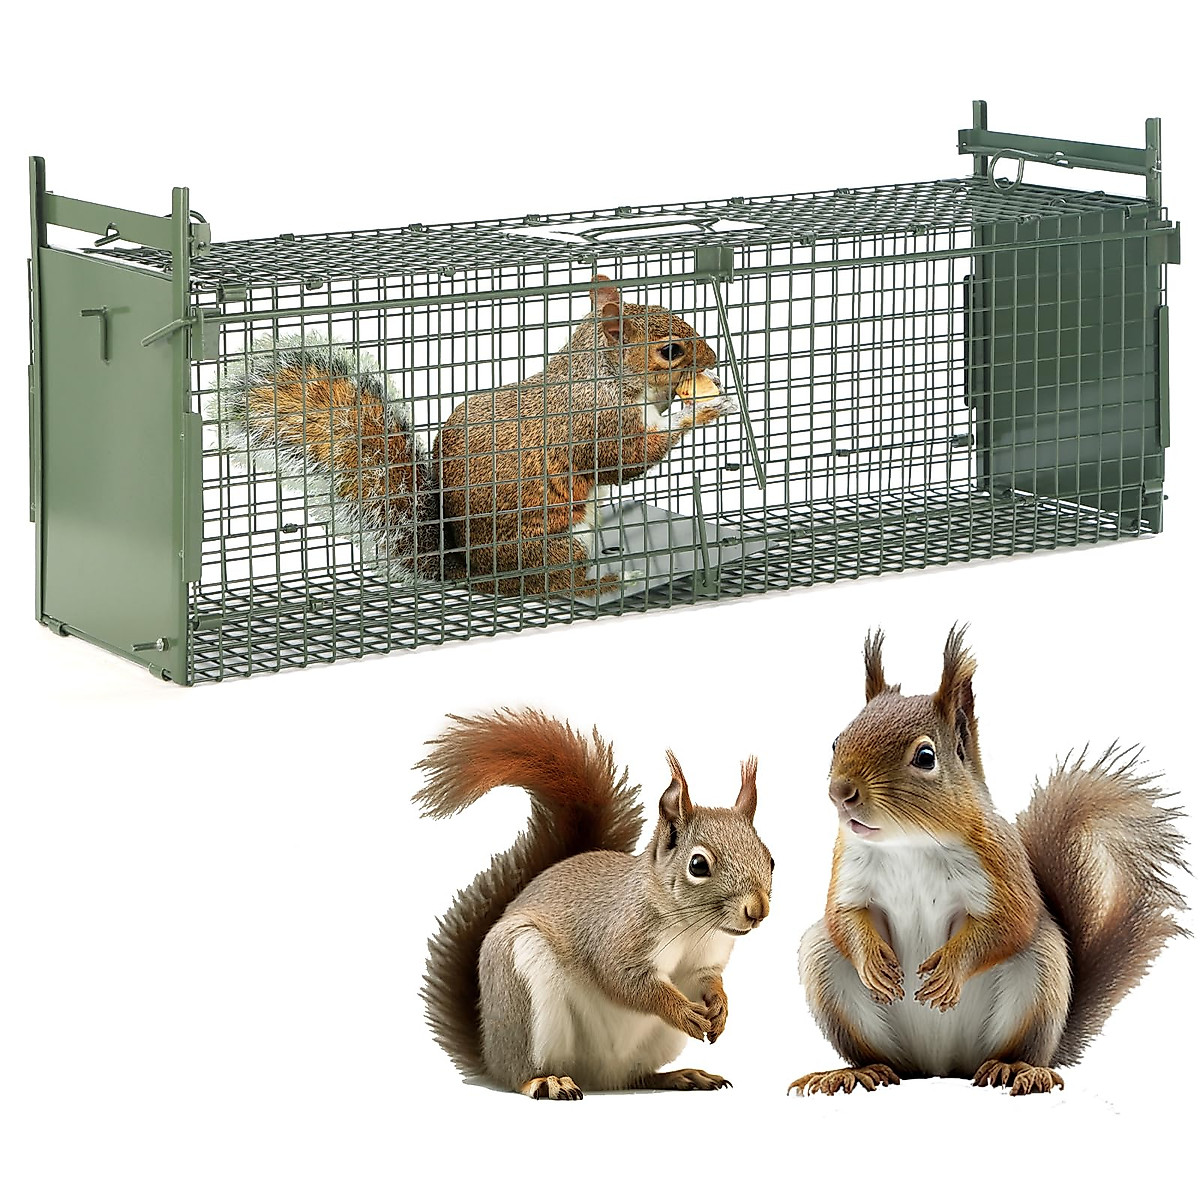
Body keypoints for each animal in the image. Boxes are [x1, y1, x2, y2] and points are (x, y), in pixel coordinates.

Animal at [211, 276, 729, 595]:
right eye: (670, 350)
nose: (714, 358)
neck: (602, 375)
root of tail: (476, 577)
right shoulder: (593, 423)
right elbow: (628, 458)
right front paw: (698, 410)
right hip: (556, 545)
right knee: (559, 586)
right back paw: (610, 582)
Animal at [414, 708, 772, 1099]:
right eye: (698, 865)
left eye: (770, 860)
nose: (757, 911)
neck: (692, 928)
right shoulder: (617, 935)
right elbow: (625, 981)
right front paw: (681, 1010)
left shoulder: (704, 962)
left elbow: (707, 980)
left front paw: (720, 1007)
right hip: (522, 984)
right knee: (521, 1073)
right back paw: (546, 1081)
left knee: (635, 1076)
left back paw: (680, 1076)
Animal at [789, 628, 1187, 1098]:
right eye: (836, 740)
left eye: (925, 757)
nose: (841, 791)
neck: (908, 844)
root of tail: (939, 1067)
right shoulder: (848, 865)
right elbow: (842, 916)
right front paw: (874, 962)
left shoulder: (999, 864)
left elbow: (1010, 923)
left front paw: (949, 971)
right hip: (827, 970)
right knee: (880, 1056)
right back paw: (853, 1072)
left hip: (1041, 975)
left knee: (1020, 1045)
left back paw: (1018, 1069)